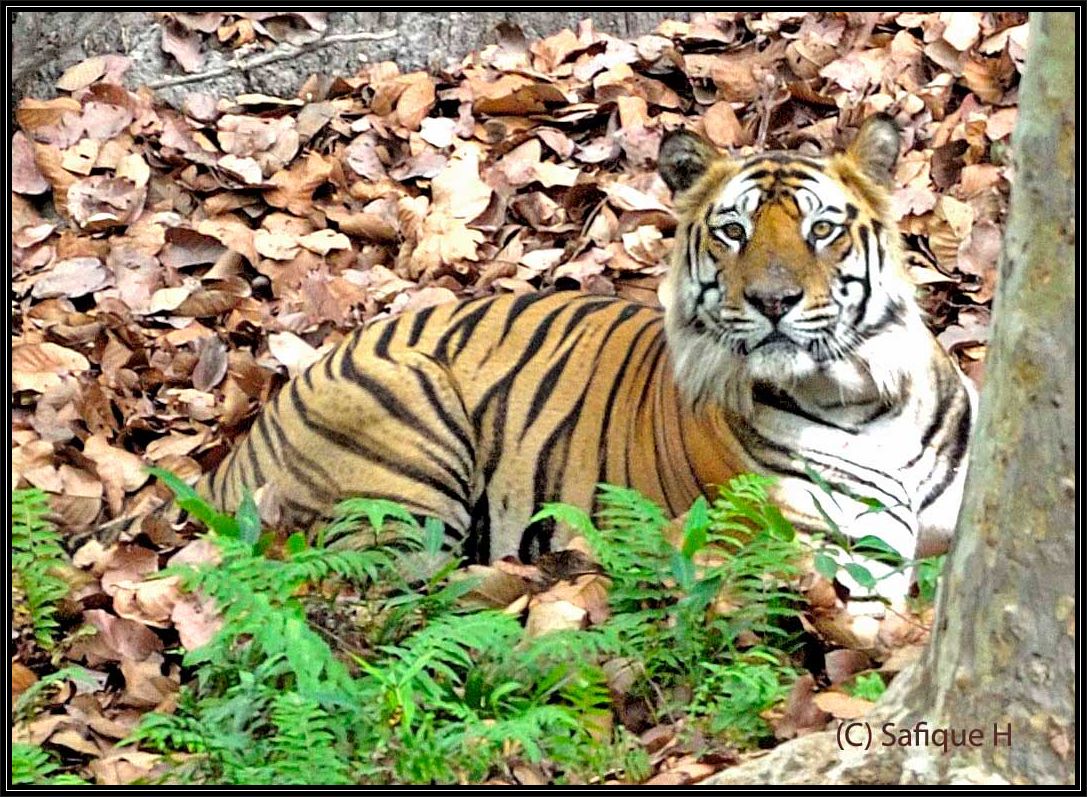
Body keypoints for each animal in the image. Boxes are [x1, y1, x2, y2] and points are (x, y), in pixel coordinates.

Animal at [193, 114, 976, 607]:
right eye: (733, 232)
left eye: (821, 230)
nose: (772, 300)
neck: (867, 397)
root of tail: (243, 446)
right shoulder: (838, 559)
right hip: (409, 454)